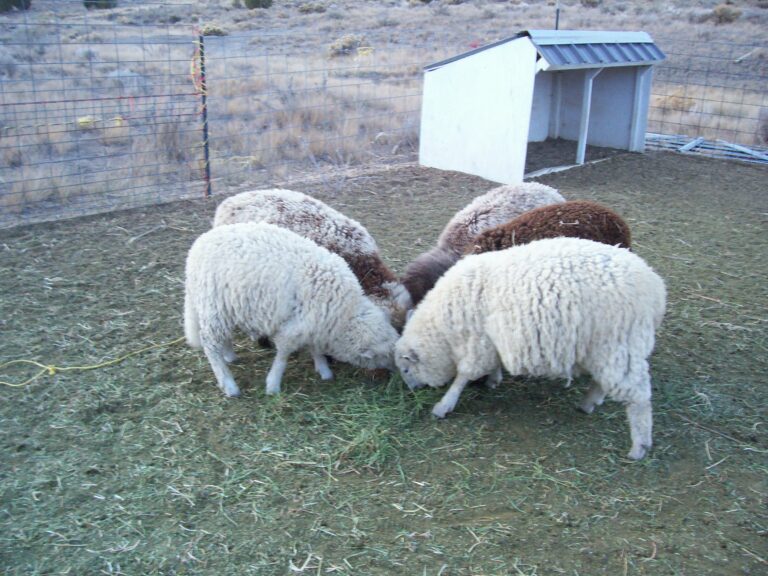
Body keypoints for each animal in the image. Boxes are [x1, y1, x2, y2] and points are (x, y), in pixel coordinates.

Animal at [184, 222, 399, 397]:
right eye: (385, 356)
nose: (396, 373)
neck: (344, 315)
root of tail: (197, 248)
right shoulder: (296, 327)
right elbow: (283, 355)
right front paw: (273, 385)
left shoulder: (314, 325)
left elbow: (315, 348)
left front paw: (323, 370)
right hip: (213, 304)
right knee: (210, 343)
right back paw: (229, 384)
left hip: (225, 307)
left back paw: (229, 355)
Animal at [395, 237, 666, 460]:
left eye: (407, 370)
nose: (412, 391)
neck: (443, 328)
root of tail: (655, 288)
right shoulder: (489, 342)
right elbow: (490, 364)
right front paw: (494, 379)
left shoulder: (476, 343)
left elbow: (462, 377)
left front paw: (444, 405)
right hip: (605, 347)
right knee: (605, 380)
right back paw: (589, 403)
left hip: (619, 341)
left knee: (638, 396)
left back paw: (639, 445)